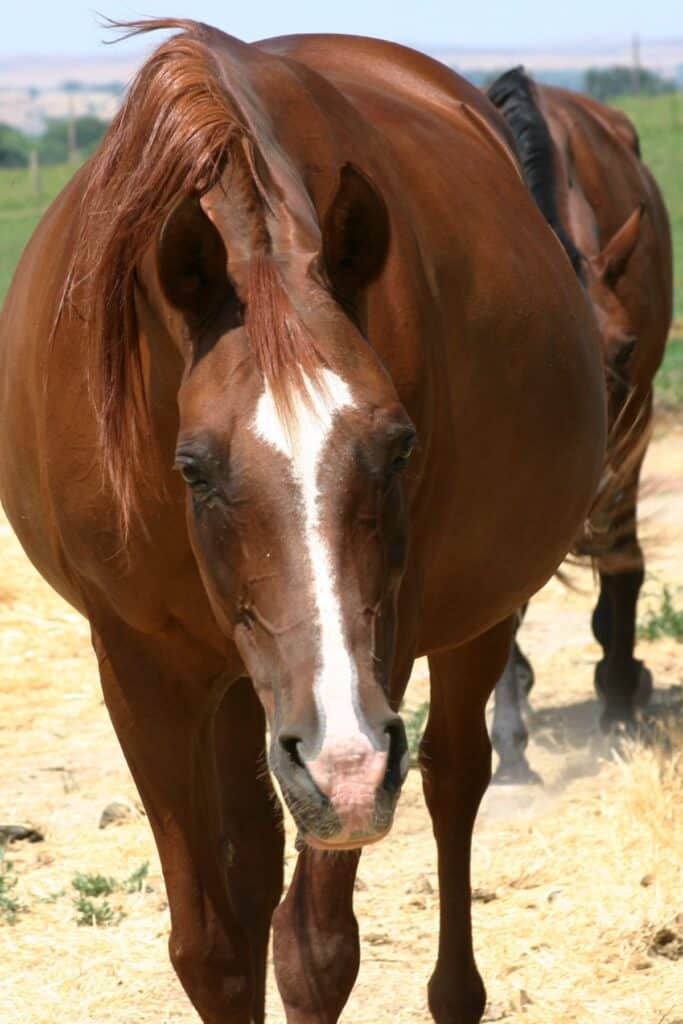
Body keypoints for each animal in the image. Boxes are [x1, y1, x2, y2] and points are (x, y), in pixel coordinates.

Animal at [0, 22, 607, 1024]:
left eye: (398, 447)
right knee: (255, 857)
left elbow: (315, 949)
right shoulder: (140, 666)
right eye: (194, 468)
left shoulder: (380, 651)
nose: (345, 763)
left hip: (469, 623)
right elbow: (212, 948)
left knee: (454, 779)